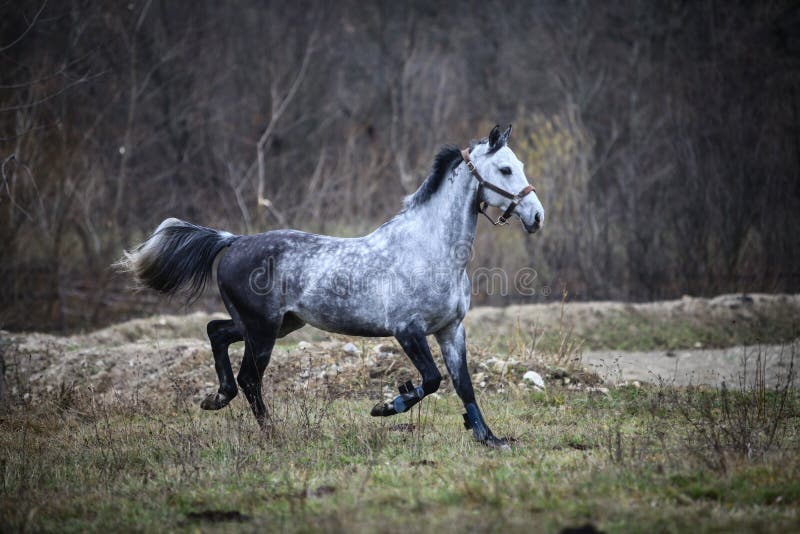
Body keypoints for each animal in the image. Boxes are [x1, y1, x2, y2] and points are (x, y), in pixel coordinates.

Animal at [119, 124, 545, 448]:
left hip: (274, 324)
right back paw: (272, 432)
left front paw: (489, 438)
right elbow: (431, 380)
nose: (537, 216)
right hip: (263, 330)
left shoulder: (451, 331)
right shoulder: (407, 330)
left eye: (520, 166)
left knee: (217, 333)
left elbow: (464, 385)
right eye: (505, 170)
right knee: (250, 379)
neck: (430, 249)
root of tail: (233, 241)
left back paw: (217, 398)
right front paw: (387, 406)